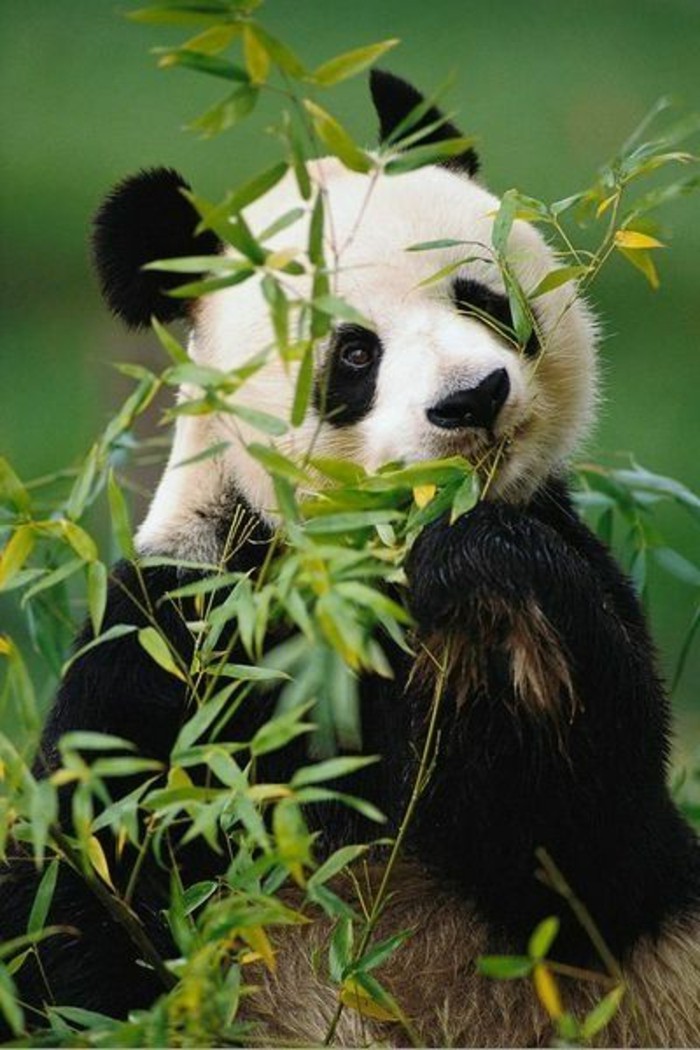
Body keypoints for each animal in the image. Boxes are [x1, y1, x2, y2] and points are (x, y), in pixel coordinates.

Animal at [2, 70, 700, 1047]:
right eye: (356, 354)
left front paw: (489, 582)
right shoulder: (186, 633)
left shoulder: (571, 556)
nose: (472, 399)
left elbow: (597, 854)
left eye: (482, 298)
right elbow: (89, 890)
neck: (359, 567)